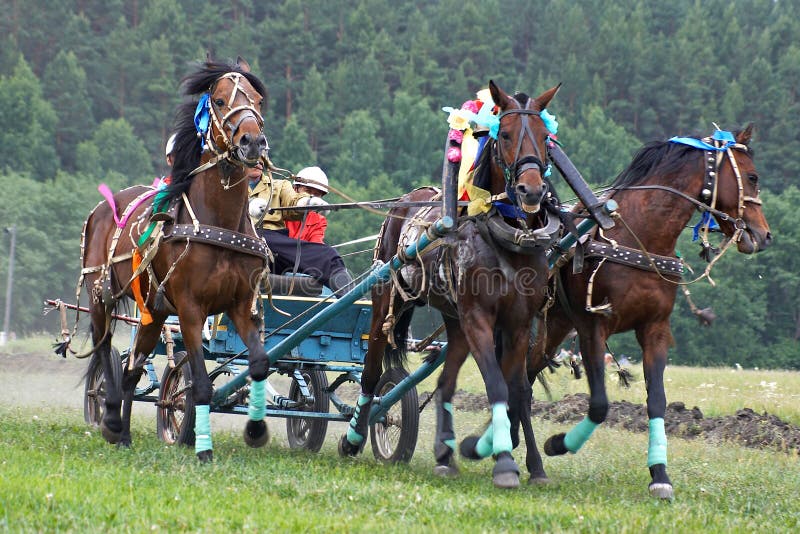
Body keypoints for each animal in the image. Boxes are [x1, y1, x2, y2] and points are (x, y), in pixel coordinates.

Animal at [76, 58, 273, 462]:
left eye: (258, 100)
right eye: (218, 99)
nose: (252, 141)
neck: (218, 221)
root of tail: (103, 207)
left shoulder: (239, 305)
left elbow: (260, 363)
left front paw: (256, 429)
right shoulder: (191, 309)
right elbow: (200, 384)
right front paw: (203, 450)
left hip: (153, 313)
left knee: (133, 370)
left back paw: (124, 433)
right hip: (101, 295)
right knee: (105, 350)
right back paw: (111, 419)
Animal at [337, 80, 563, 488]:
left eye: (545, 137)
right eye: (505, 134)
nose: (532, 191)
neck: (507, 240)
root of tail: (404, 201)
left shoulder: (519, 323)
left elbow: (518, 391)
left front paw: (532, 465)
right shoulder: (480, 319)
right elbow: (497, 384)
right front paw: (504, 463)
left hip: (456, 323)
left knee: (445, 382)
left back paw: (444, 455)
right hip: (387, 303)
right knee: (371, 370)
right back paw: (354, 436)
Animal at [527, 125, 772, 498]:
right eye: (752, 176)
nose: (764, 234)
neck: (640, 236)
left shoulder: (655, 328)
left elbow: (657, 401)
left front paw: (660, 474)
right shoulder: (592, 328)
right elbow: (600, 405)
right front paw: (558, 443)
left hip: (550, 331)